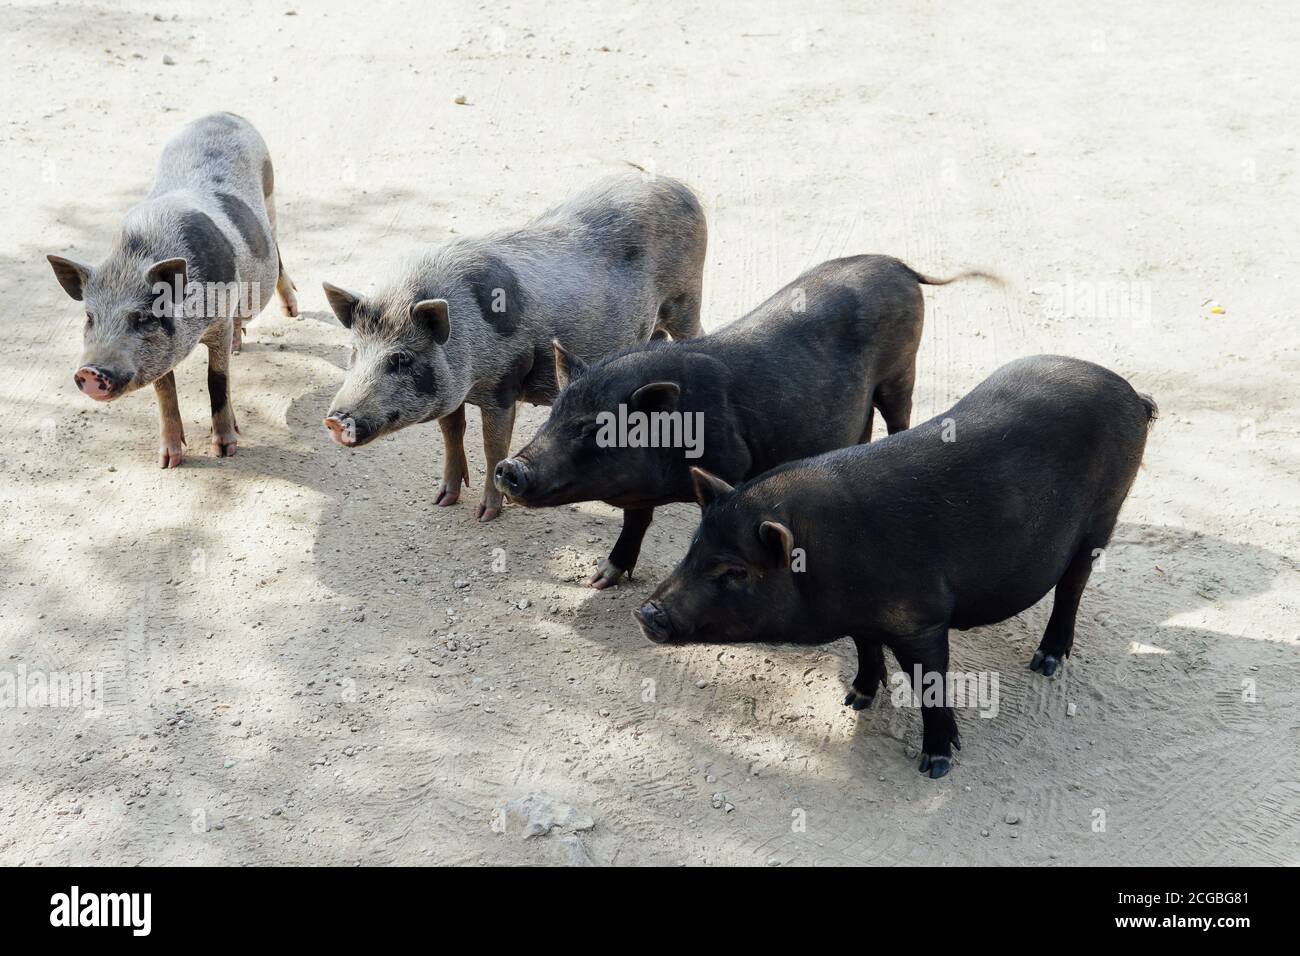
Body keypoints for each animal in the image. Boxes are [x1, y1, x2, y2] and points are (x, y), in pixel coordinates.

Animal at [46, 111, 298, 467]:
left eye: (143, 317)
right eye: (89, 317)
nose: (90, 371)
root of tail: (223, 114)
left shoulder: (219, 319)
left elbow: (216, 380)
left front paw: (224, 450)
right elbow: (164, 391)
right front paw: (168, 461)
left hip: (270, 195)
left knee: (277, 251)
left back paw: (292, 311)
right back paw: (239, 346)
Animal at [321, 172, 707, 520]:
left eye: (401, 358)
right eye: (354, 352)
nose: (336, 419)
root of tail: (680, 187)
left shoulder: (504, 384)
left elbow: (493, 447)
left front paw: (485, 515)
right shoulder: (451, 393)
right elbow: (451, 434)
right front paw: (443, 500)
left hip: (687, 299)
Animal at [495, 255, 995, 587]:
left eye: (594, 428)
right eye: (553, 415)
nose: (508, 468)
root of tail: (899, 265)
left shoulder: (731, 464)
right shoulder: (639, 489)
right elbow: (635, 522)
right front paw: (600, 578)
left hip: (901, 371)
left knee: (898, 420)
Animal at [633, 355, 1158, 778]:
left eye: (735, 572)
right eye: (694, 544)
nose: (646, 613)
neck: (827, 558)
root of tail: (1132, 393)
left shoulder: (922, 620)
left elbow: (930, 686)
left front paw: (935, 766)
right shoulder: (862, 619)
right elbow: (865, 648)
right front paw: (855, 698)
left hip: (1105, 515)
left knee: (1073, 585)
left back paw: (1045, 663)